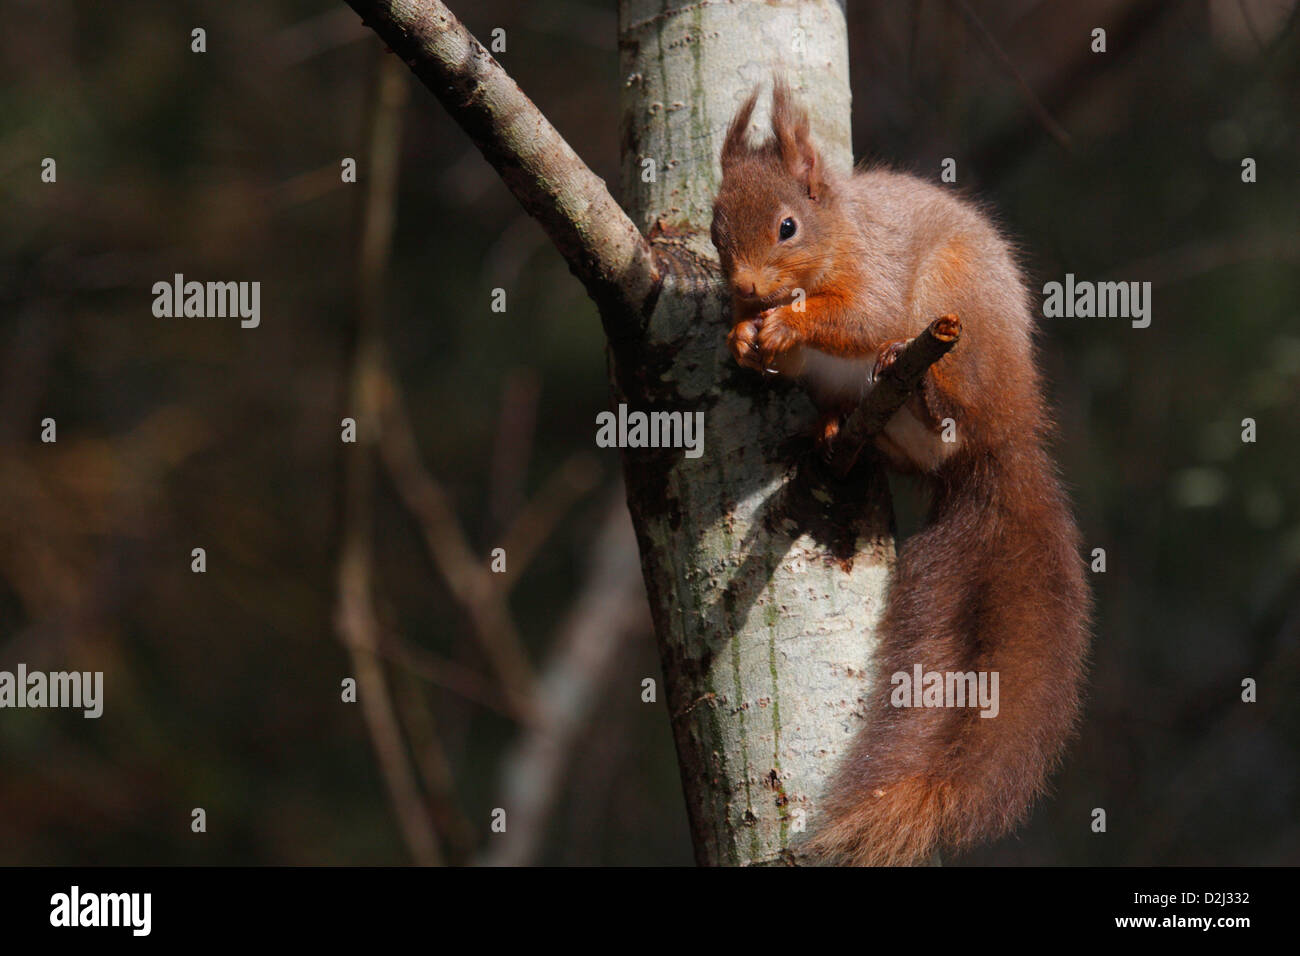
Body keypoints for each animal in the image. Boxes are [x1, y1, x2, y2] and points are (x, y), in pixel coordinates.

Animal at [709, 80, 1092, 866]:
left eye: (788, 227)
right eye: (712, 231)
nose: (748, 288)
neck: (838, 231)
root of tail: (1007, 441)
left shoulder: (875, 275)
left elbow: (863, 315)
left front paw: (786, 324)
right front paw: (743, 335)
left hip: (956, 316)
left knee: (944, 390)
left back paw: (920, 388)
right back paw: (834, 428)